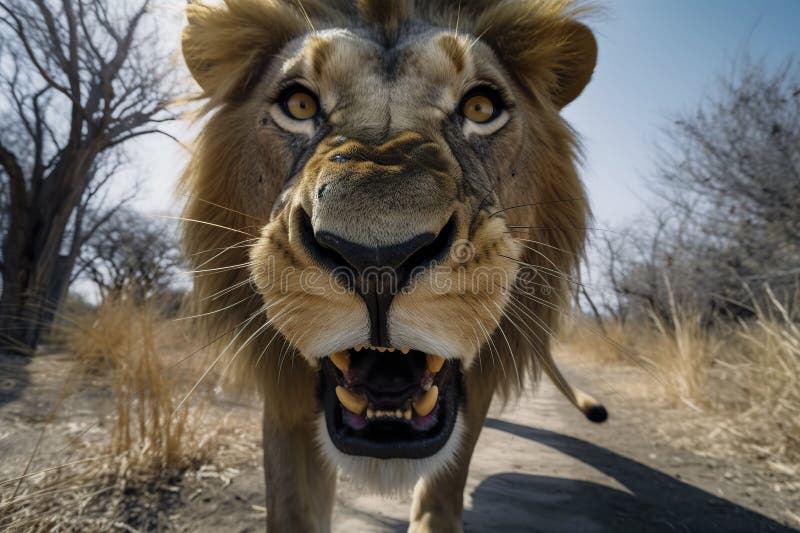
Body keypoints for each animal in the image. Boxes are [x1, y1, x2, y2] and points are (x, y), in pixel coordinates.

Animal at [179, 0, 605, 530]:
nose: (377, 260)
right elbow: (291, 505)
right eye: (298, 105)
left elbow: (443, 489)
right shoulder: (283, 401)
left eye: (480, 108)